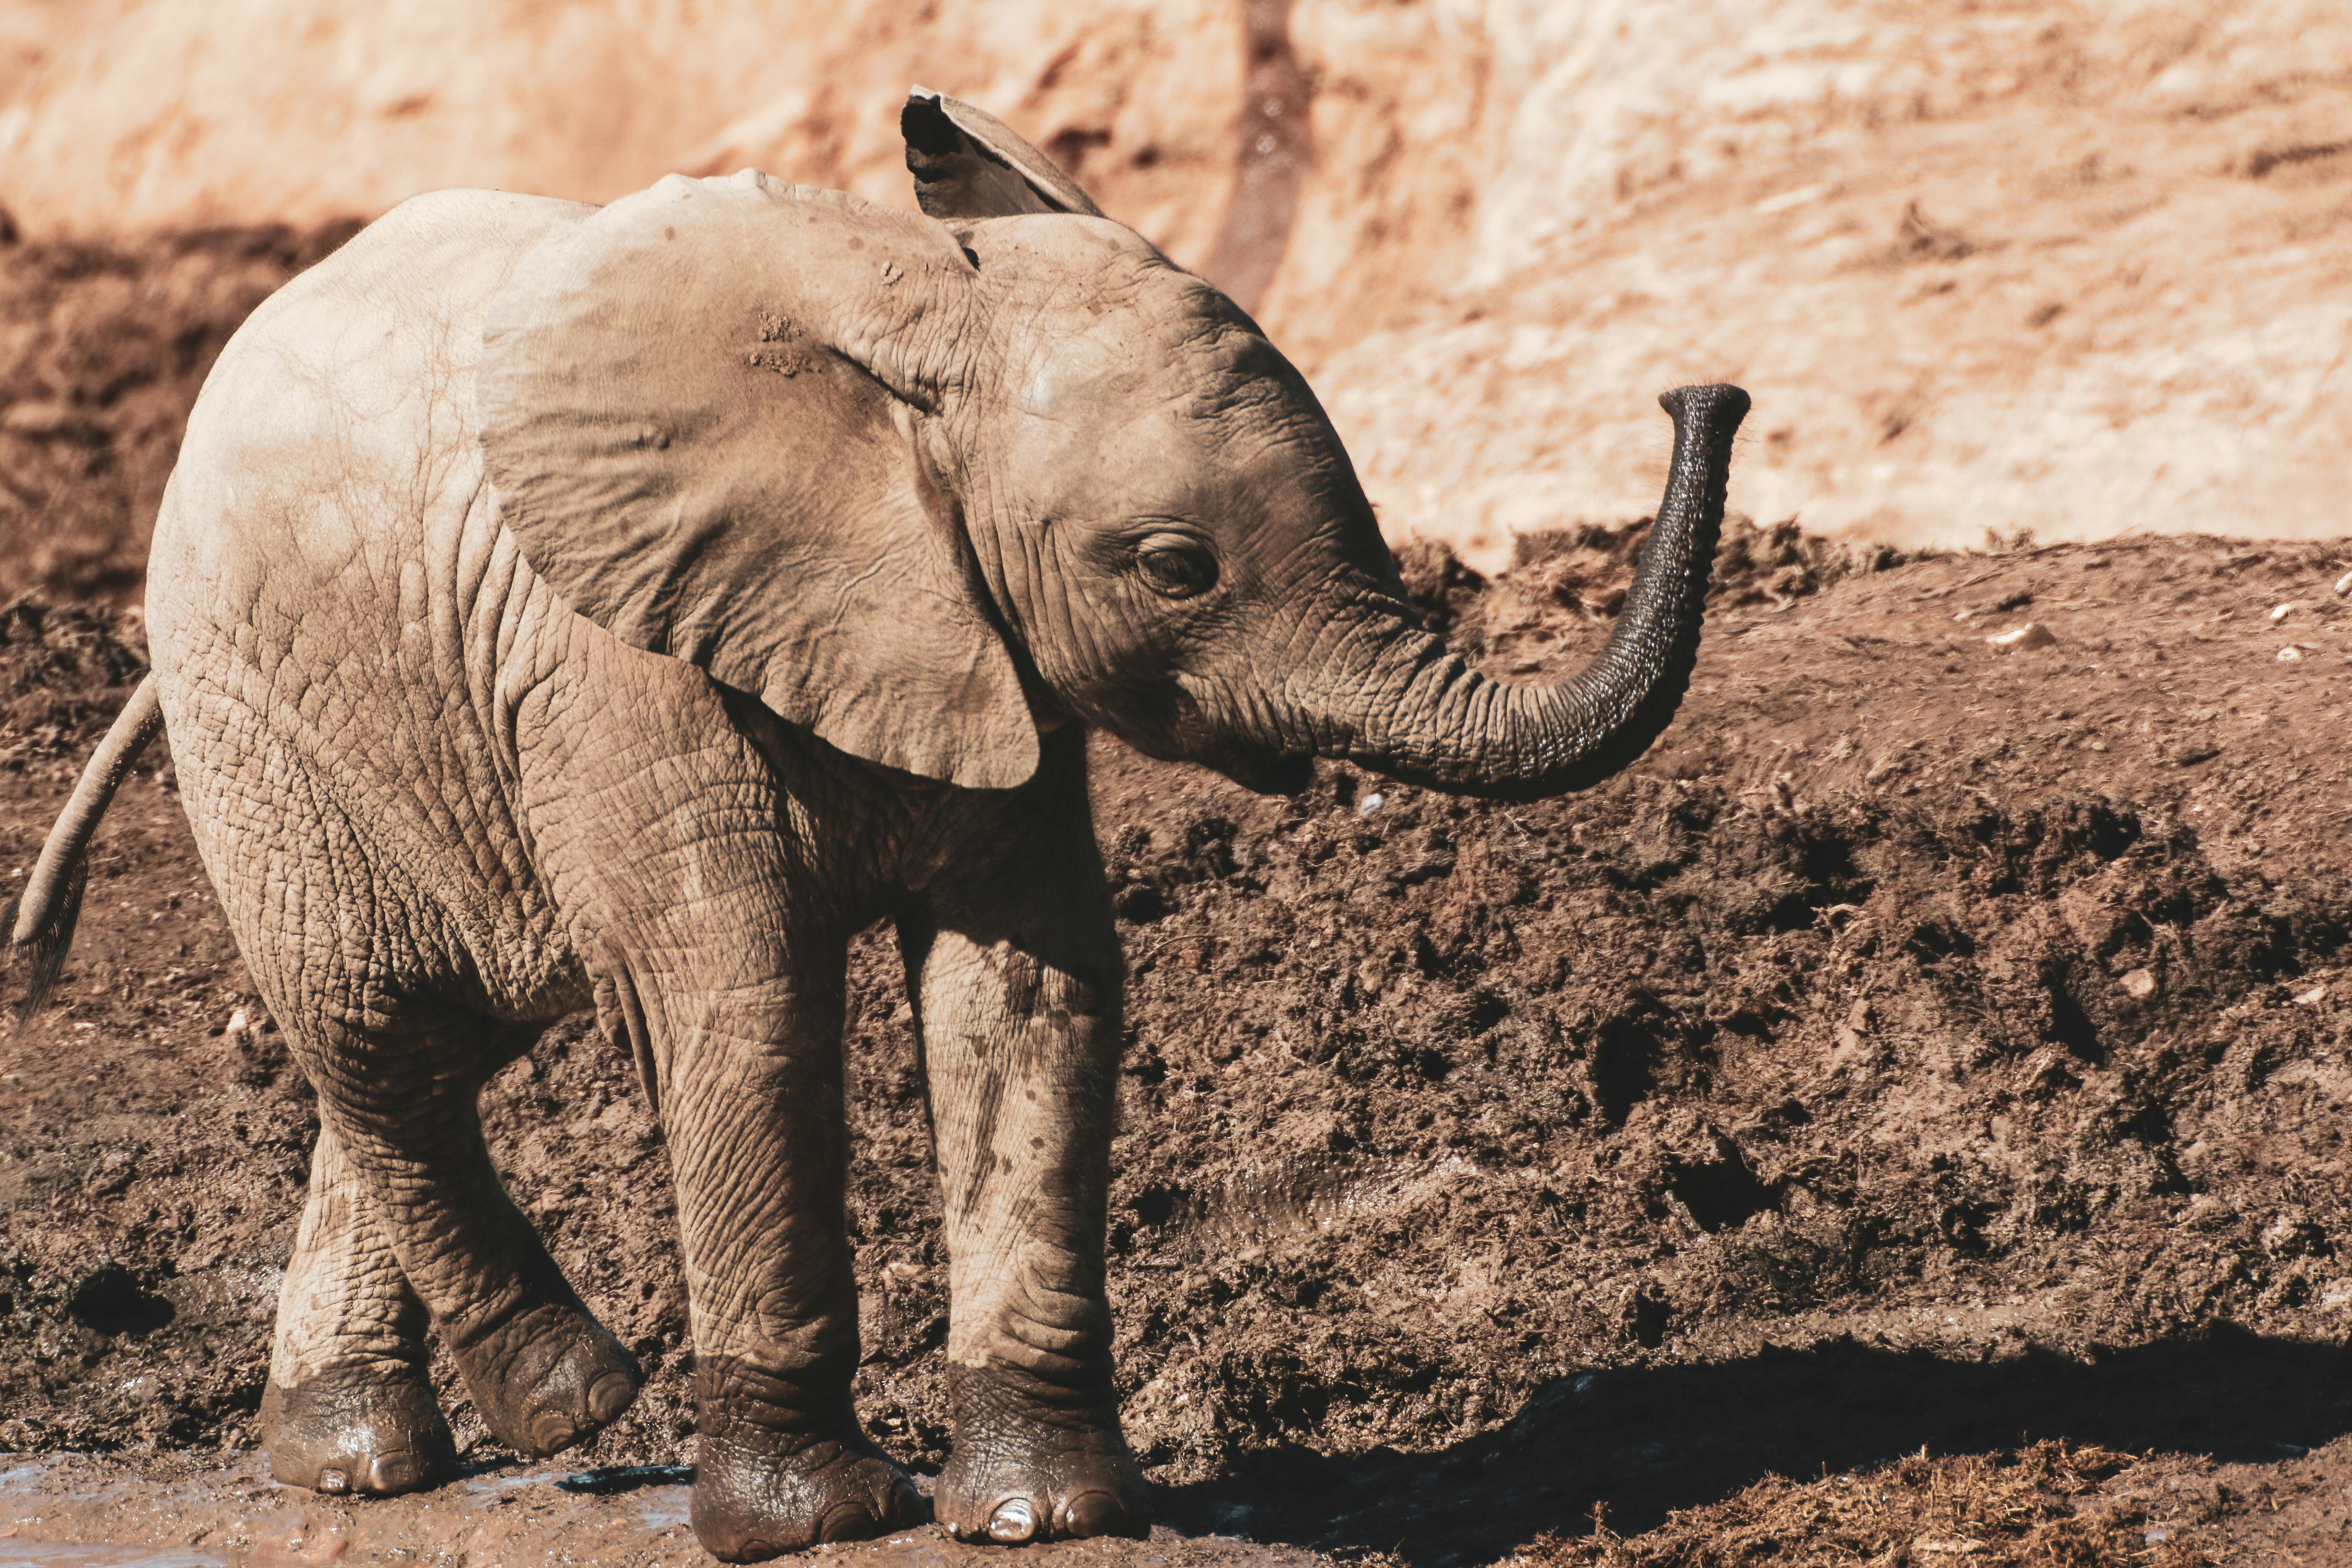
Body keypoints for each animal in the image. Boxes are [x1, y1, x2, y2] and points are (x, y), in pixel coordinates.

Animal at [3, 90, 1747, 1560]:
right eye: (1174, 566)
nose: (1706, 389)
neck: (912, 328)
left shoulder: (982, 660)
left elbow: (1029, 996)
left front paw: (1044, 1514)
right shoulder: (631, 665)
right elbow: (747, 1012)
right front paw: (816, 1519)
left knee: (423, 1044)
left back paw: (356, 1460)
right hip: (259, 708)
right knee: (381, 1027)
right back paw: (565, 1399)